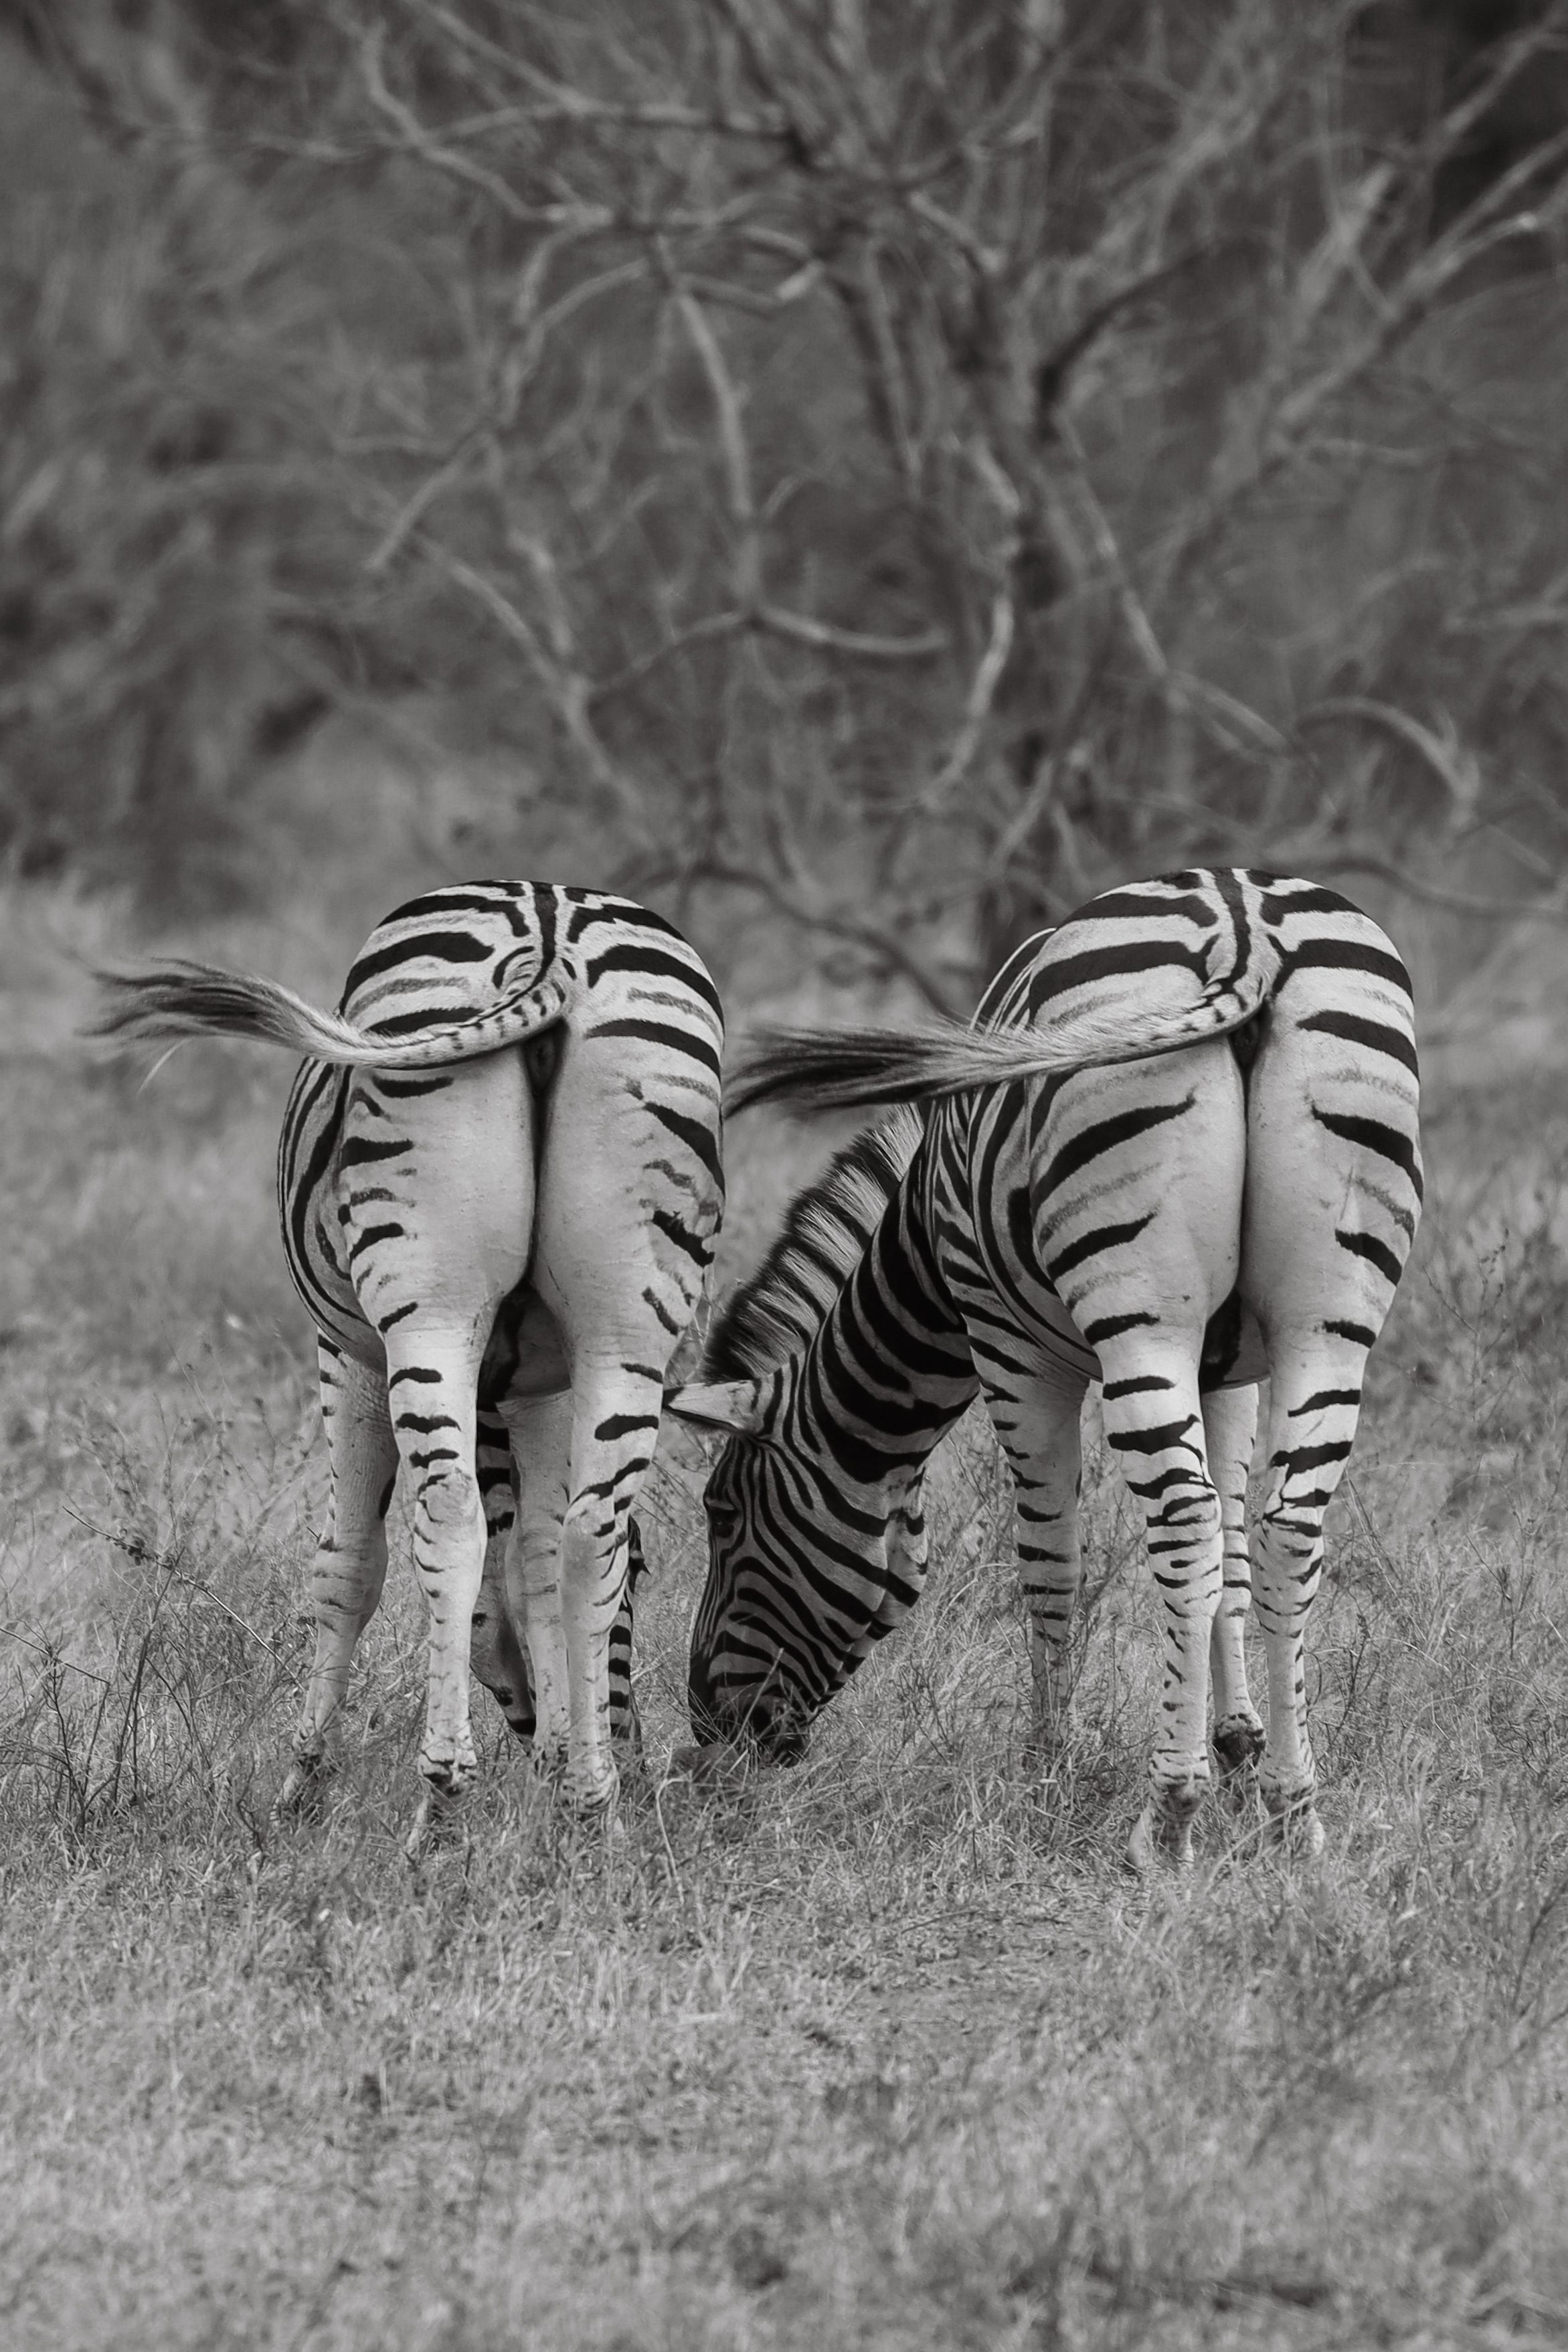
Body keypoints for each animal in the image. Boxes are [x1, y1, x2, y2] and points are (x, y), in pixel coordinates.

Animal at [92, 882, 724, 1840]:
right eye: (650, 1584)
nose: (646, 1761)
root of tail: (549, 928)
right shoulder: (547, 1384)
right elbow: (538, 1559)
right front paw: (560, 1772)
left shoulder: (348, 1356)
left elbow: (348, 1564)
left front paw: (302, 1786)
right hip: (628, 1317)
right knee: (592, 1534)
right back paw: (593, 1803)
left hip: (427, 1301)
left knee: (450, 1513)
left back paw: (443, 1798)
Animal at [667, 869, 1421, 1867]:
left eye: (722, 1513)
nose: (709, 1729)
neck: (922, 1234)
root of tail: (1242, 923)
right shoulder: (1227, 1366)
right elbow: (1231, 1543)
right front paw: (1237, 1749)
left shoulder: (1006, 1343)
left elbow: (1051, 1558)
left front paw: (1046, 1769)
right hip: (1327, 1314)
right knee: (1285, 1528)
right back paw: (1297, 1815)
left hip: (1134, 1302)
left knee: (1180, 1522)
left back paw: (1164, 1818)